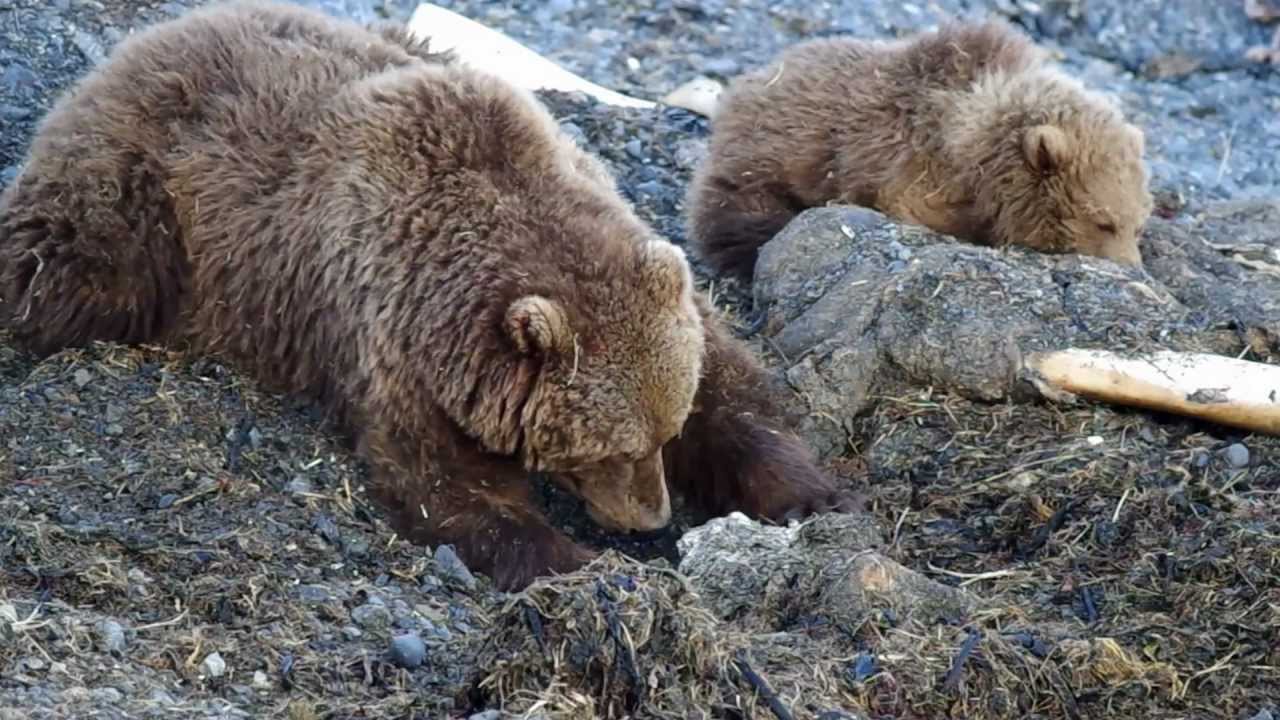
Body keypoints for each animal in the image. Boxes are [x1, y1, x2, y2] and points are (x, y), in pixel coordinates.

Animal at [0, 1, 859, 591]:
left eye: (662, 430)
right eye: (609, 448)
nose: (650, 517)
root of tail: (144, 40)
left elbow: (731, 389)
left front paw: (806, 492)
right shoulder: (396, 335)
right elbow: (444, 482)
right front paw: (573, 559)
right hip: (132, 200)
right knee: (67, 265)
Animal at [685, 18, 1155, 283]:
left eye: (1137, 225)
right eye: (1103, 221)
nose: (1133, 268)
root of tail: (745, 85)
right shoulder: (915, 172)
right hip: (766, 157)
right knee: (740, 214)